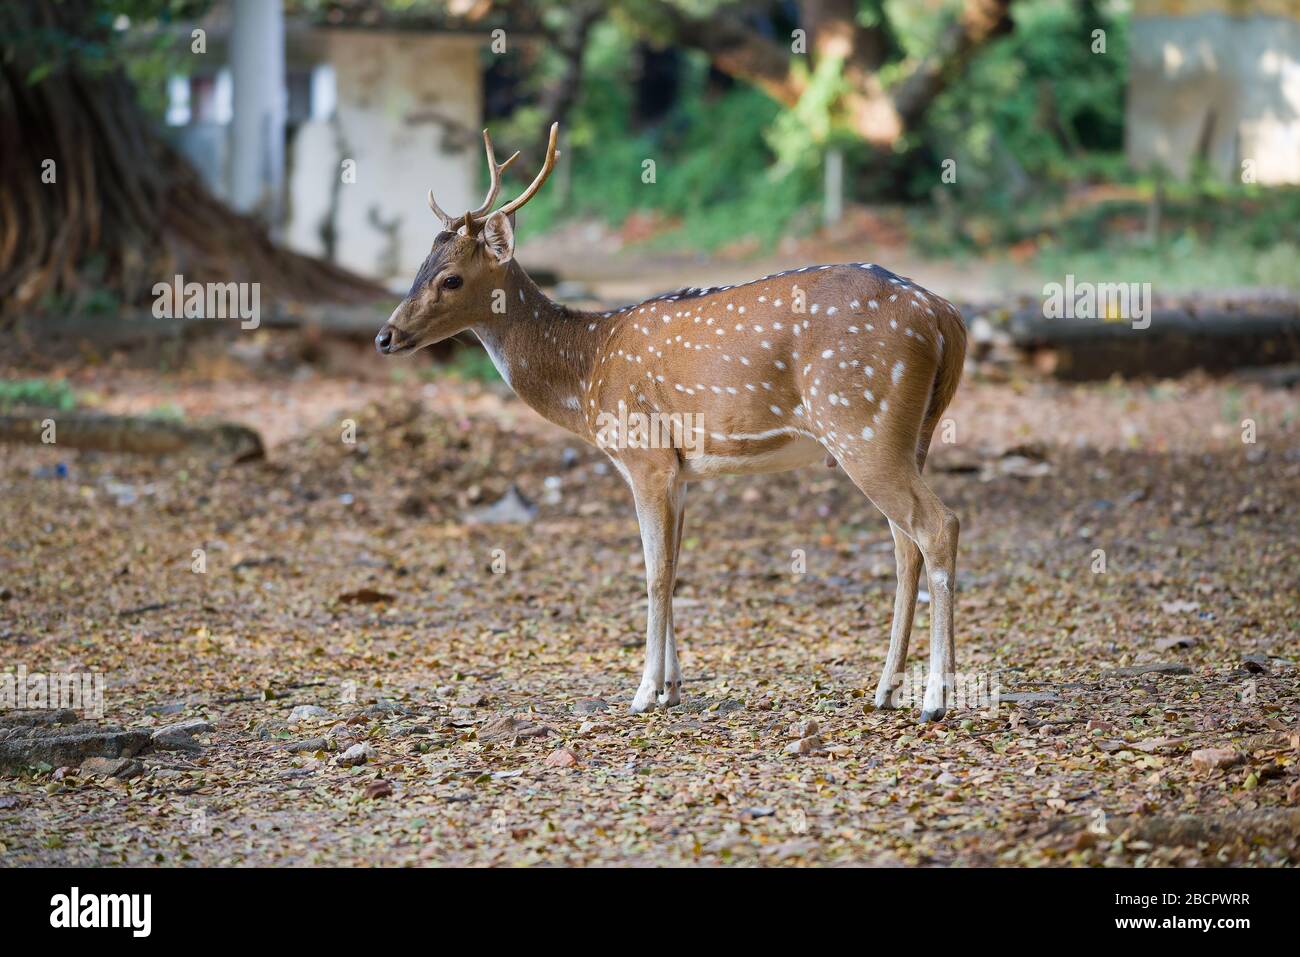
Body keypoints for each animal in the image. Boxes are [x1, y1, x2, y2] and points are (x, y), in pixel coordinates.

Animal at [375, 123, 967, 720]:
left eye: (451, 279)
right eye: (418, 269)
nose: (384, 336)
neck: (586, 370)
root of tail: (946, 317)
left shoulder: (645, 455)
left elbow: (655, 572)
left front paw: (642, 692)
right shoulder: (680, 470)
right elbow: (675, 565)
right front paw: (673, 686)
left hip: (860, 420)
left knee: (939, 526)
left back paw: (935, 698)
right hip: (910, 434)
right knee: (905, 546)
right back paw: (886, 689)